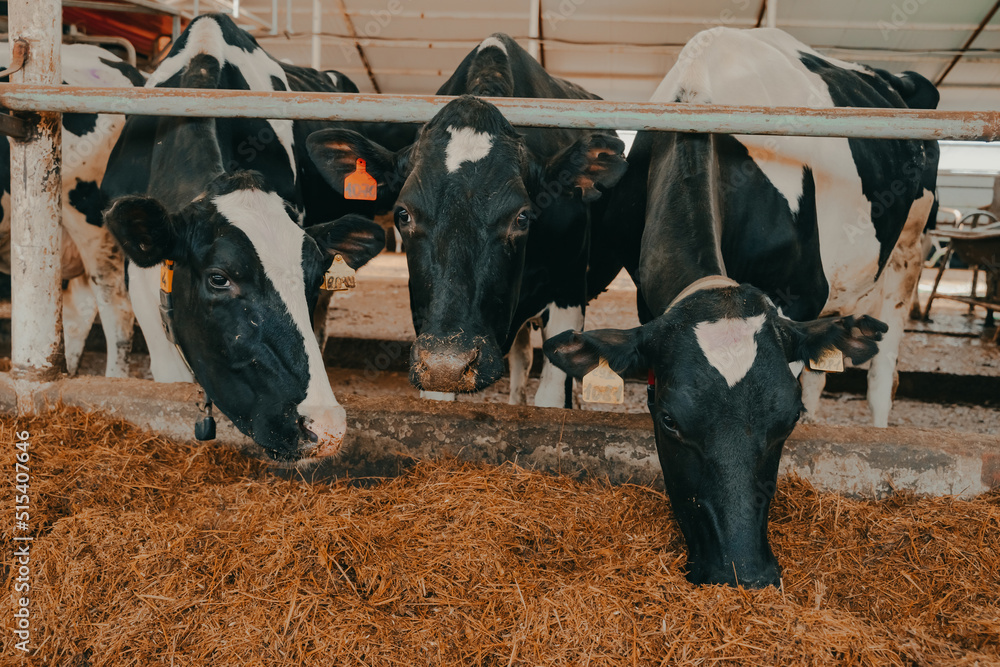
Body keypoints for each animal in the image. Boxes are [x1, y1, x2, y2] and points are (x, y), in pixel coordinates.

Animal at [306, 33, 628, 407]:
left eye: (522, 217)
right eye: (403, 213)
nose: (451, 362)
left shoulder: (569, 290)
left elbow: (551, 396)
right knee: (521, 356)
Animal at [543, 28, 939, 587]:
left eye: (785, 422)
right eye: (668, 420)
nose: (745, 574)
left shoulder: (800, 292)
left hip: (910, 246)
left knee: (883, 370)